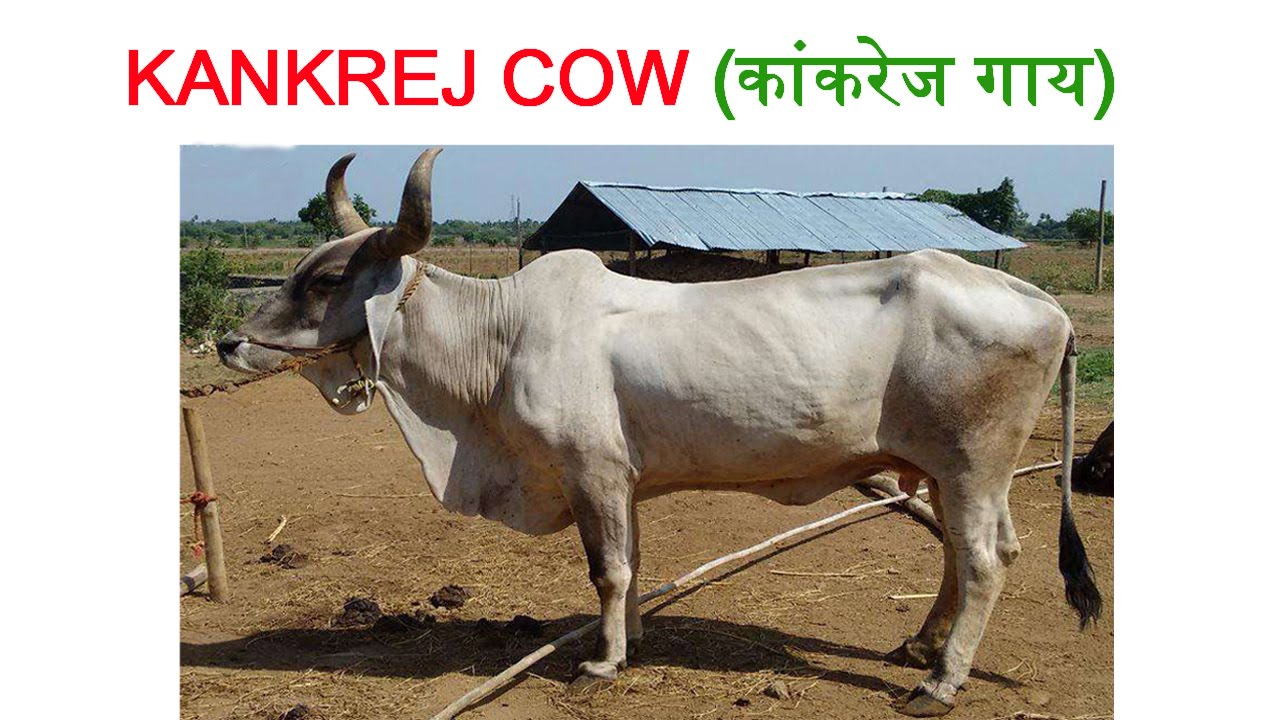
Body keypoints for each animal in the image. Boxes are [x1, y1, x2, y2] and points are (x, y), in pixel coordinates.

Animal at [218, 148, 1101, 717]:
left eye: (329, 280)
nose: (227, 343)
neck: (497, 339)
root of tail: (1042, 300)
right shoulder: (622, 481)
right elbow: (630, 565)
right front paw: (633, 636)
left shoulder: (594, 472)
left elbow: (606, 570)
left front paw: (604, 662)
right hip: (953, 473)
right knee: (969, 551)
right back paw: (921, 647)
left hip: (972, 466)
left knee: (983, 561)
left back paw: (939, 683)